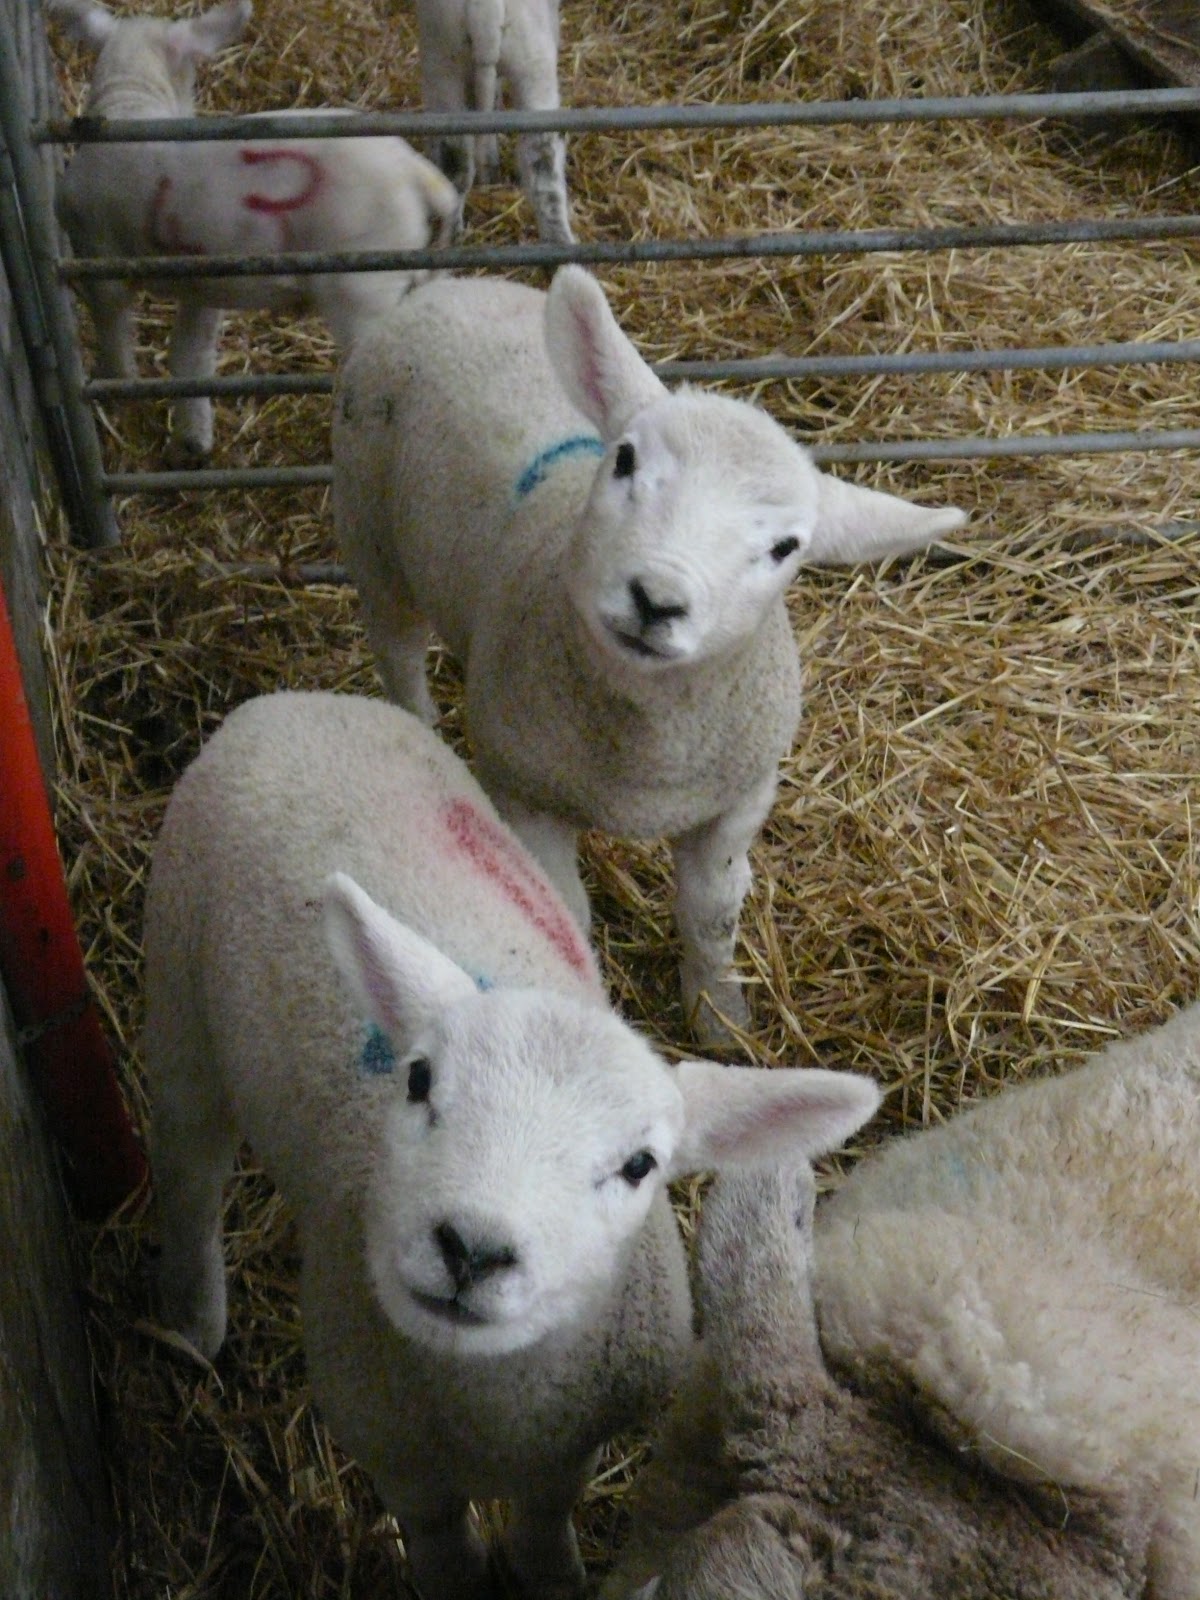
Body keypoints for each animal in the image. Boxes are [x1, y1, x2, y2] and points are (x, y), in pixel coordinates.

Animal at [50, 0, 458, 466]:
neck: (129, 105)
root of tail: (419, 176)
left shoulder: (101, 263)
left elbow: (117, 342)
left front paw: (119, 400)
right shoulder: (203, 282)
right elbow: (189, 356)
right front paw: (192, 442)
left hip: (363, 289)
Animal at [144, 688, 882, 1600]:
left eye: (639, 1165)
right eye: (419, 1081)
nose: (472, 1248)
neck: (488, 1401)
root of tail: (299, 701)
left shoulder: (571, 1437)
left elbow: (543, 1513)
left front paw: (550, 1575)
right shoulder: (396, 1450)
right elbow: (440, 1538)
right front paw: (463, 1583)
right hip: (178, 992)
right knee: (189, 1173)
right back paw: (191, 1324)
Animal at [331, 266, 967, 1047]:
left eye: (785, 547)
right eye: (626, 460)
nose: (657, 599)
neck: (647, 750)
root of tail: (453, 287)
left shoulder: (738, 797)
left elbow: (712, 912)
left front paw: (721, 1017)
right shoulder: (527, 791)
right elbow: (564, 910)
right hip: (371, 536)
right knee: (398, 656)